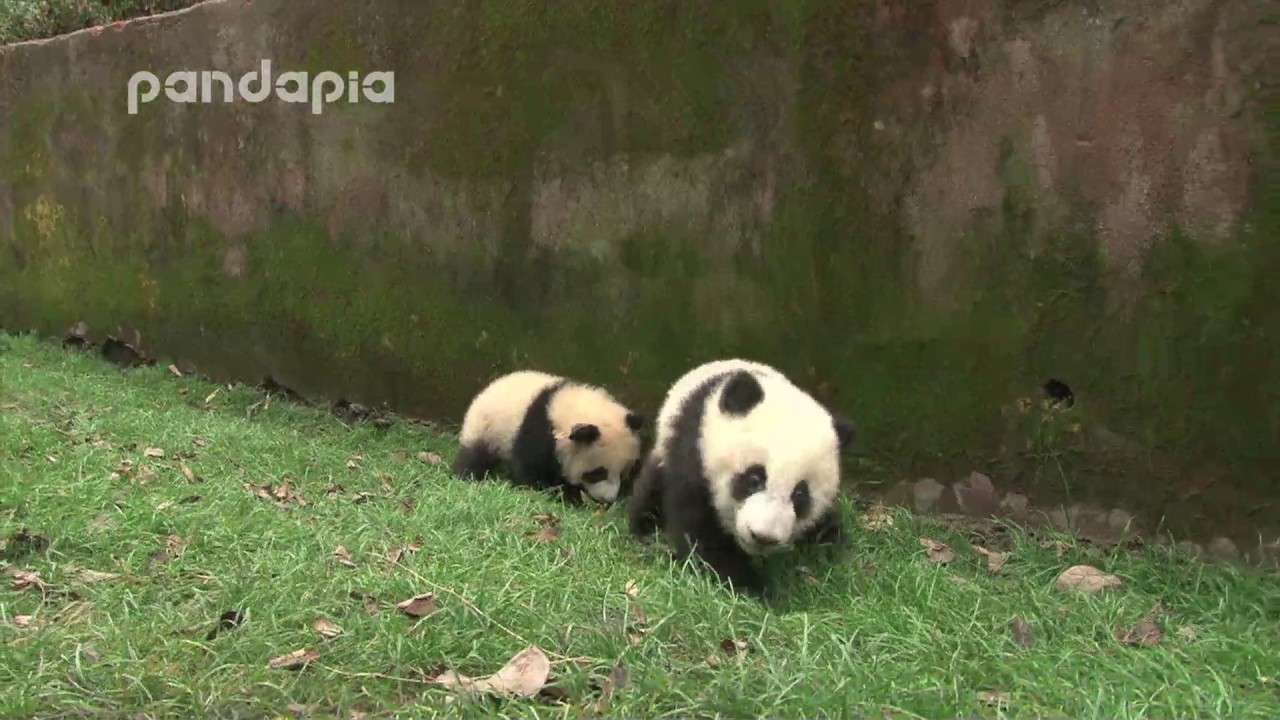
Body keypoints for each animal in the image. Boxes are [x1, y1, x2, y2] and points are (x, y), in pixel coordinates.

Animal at [452, 370, 645, 506]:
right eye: (597, 473)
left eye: (625, 471)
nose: (609, 499)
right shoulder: (537, 432)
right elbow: (531, 468)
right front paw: (564, 494)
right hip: (486, 426)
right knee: (475, 454)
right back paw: (468, 475)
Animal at [627, 359, 855, 598]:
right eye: (754, 479)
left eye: (800, 494)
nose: (763, 537)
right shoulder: (695, 453)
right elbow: (699, 528)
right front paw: (750, 586)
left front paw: (829, 539)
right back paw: (644, 528)